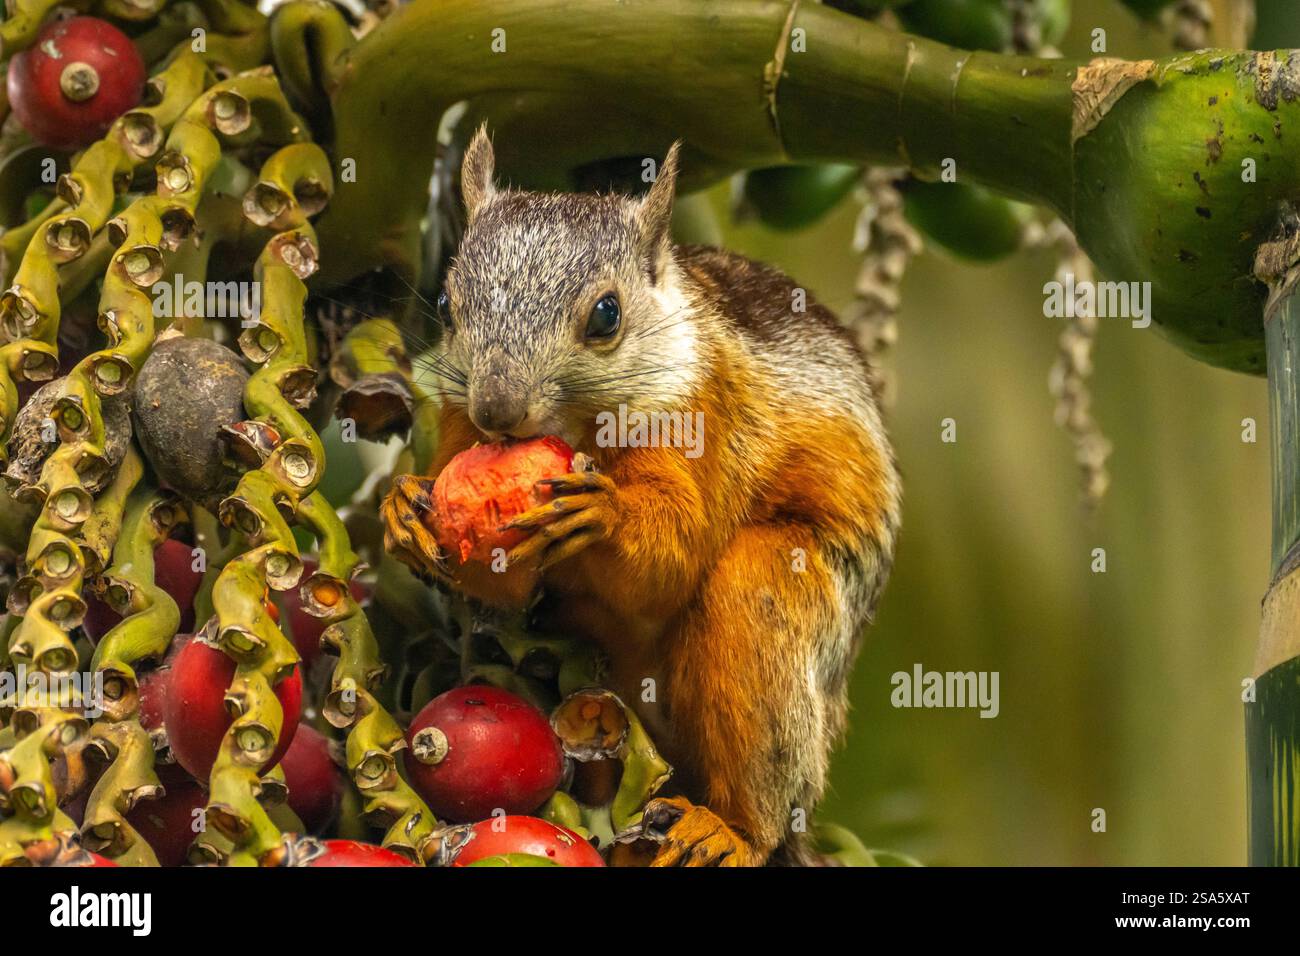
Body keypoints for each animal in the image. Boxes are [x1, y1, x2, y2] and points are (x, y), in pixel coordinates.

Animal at [382, 127, 901, 867]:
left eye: (607, 315)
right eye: (448, 306)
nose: (497, 411)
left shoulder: (704, 419)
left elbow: (669, 562)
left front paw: (607, 514)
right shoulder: (458, 427)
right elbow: (497, 582)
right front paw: (402, 512)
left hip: (787, 603)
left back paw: (729, 831)